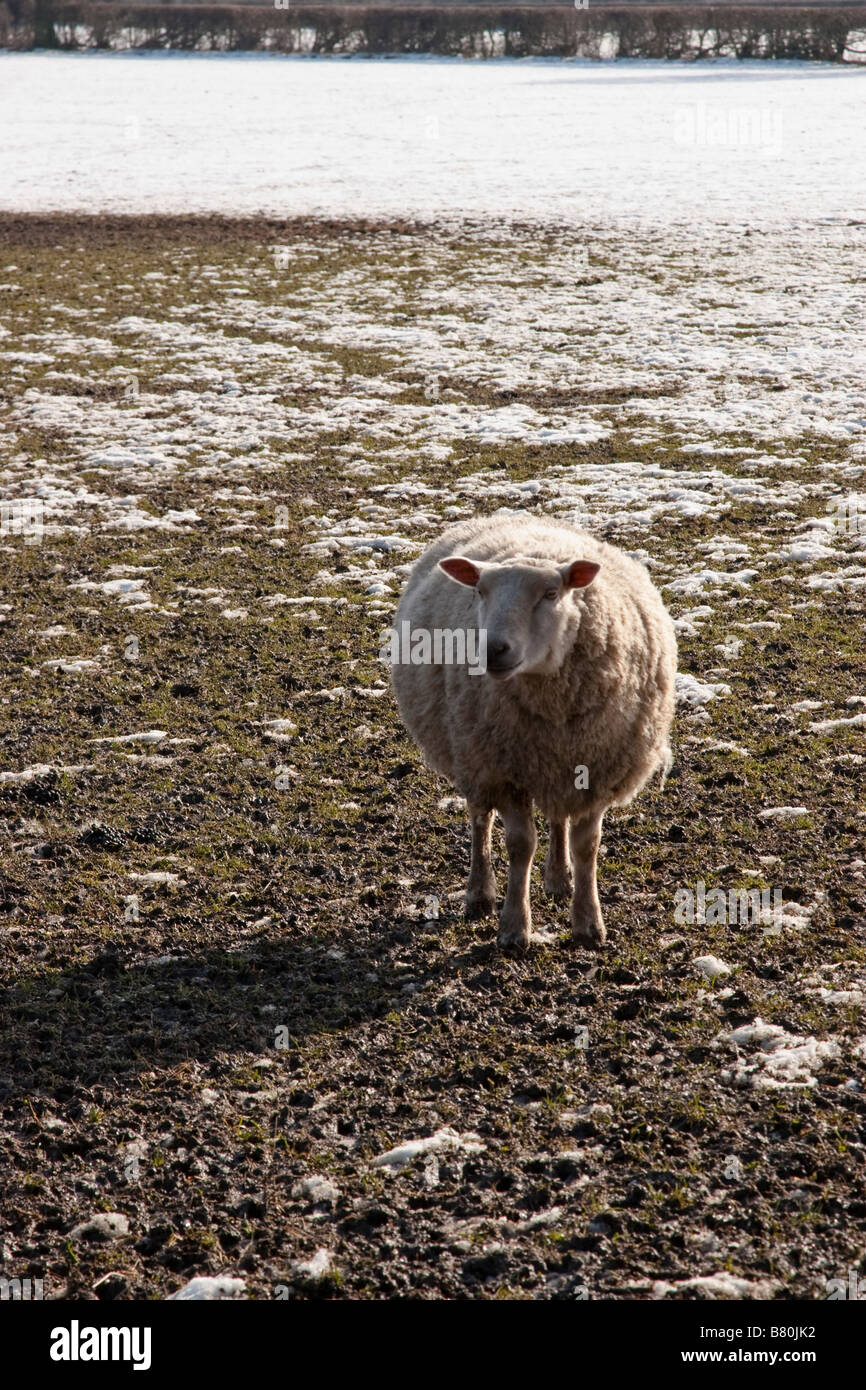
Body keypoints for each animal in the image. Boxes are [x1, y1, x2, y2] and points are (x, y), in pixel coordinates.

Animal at [389, 513, 677, 951]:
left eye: (551, 593)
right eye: (480, 591)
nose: (493, 650)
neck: (550, 698)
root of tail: (510, 516)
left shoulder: (596, 771)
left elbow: (586, 846)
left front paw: (588, 923)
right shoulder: (503, 772)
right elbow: (520, 845)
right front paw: (513, 927)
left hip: (554, 766)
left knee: (558, 817)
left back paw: (559, 879)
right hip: (473, 757)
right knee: (480, 819)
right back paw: (480, 894)